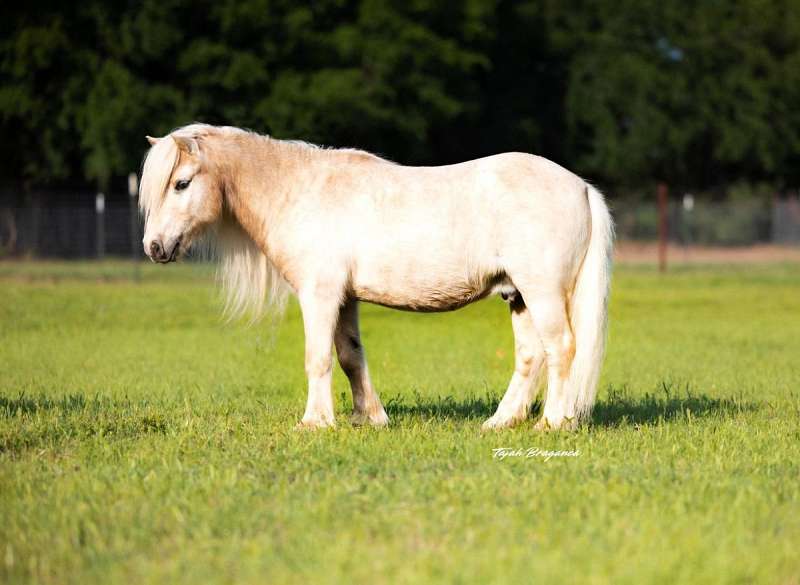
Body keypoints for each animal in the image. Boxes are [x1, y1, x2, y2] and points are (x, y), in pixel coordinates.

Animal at [139, 123, 613, 430]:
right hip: (518, 296)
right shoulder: (344, 298)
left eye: (181, 183)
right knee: (531, 356)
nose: (154, 247)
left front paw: (315, 423)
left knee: (561, 349)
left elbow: (318, 357)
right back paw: (499, 421)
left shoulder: (319, 295)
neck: (300, 191)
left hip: (542, 292)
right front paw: (369, 418)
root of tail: (580, 187)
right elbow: (350, 356)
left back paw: (552, 423)